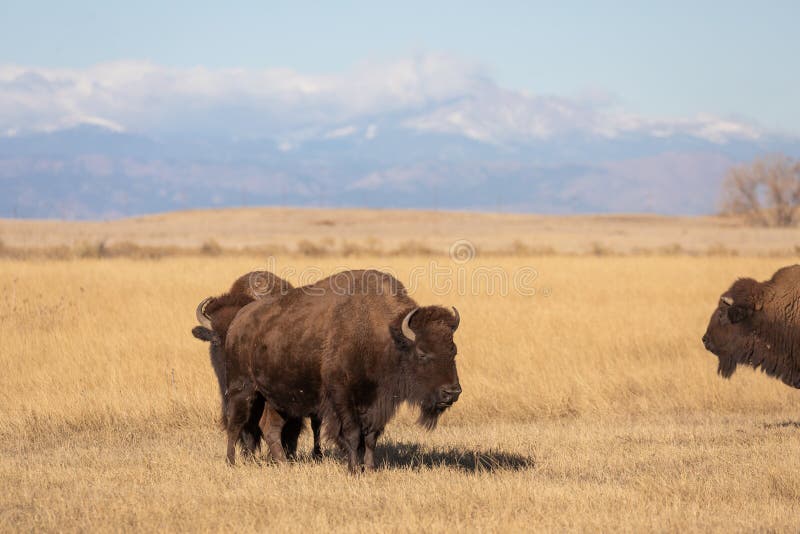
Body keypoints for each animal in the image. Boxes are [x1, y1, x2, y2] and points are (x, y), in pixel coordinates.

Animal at [224, 269, 462, 472]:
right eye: (422, 353)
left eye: (454, 350)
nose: (452, 392)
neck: (383, 336)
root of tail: (238, 322)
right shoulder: (342, 397)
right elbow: (353, 434)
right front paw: (354, 469)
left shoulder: (376, 404)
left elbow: (371, 437)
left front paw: (370, 469)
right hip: (243, 389)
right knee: (235, 424)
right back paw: (231, 462)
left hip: (277, 399)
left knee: (270, 427)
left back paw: (283, 464)